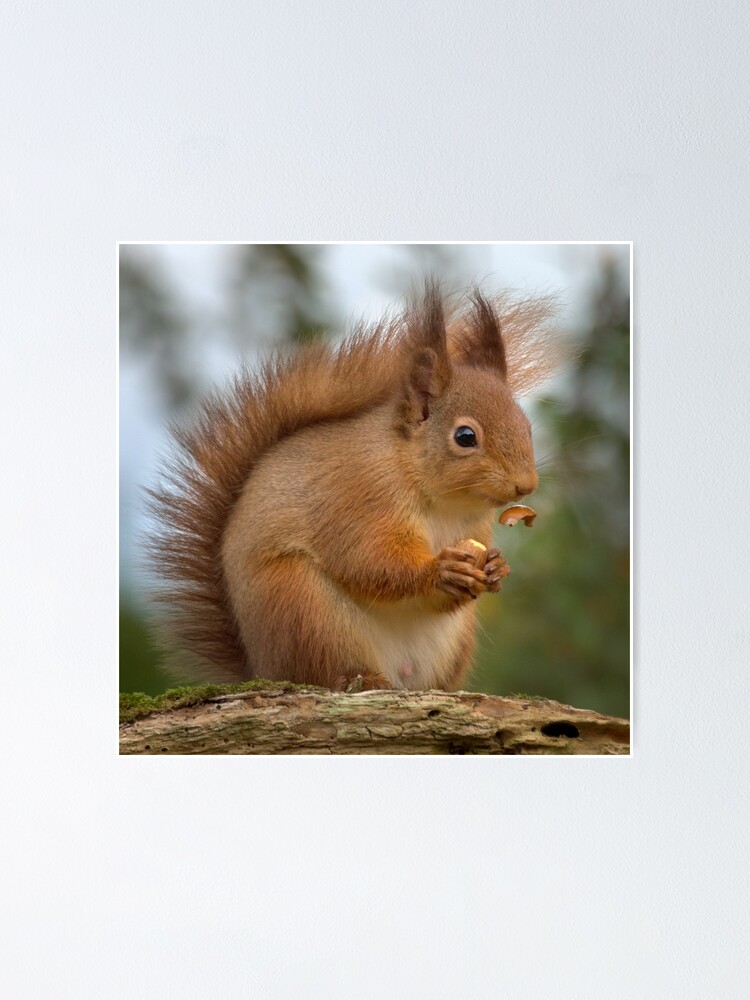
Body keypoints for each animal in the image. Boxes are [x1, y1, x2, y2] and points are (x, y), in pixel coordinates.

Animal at [147, 282, 559, 692]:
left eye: (526, 426)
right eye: (465, 436)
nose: (526, 485)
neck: (442, 500)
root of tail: (262, 666)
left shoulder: (475, 527)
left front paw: (496, 567)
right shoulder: (360, 498)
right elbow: (369, 561)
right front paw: (440, 571)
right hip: (302, 610)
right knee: (322, 671)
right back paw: (359, 678)